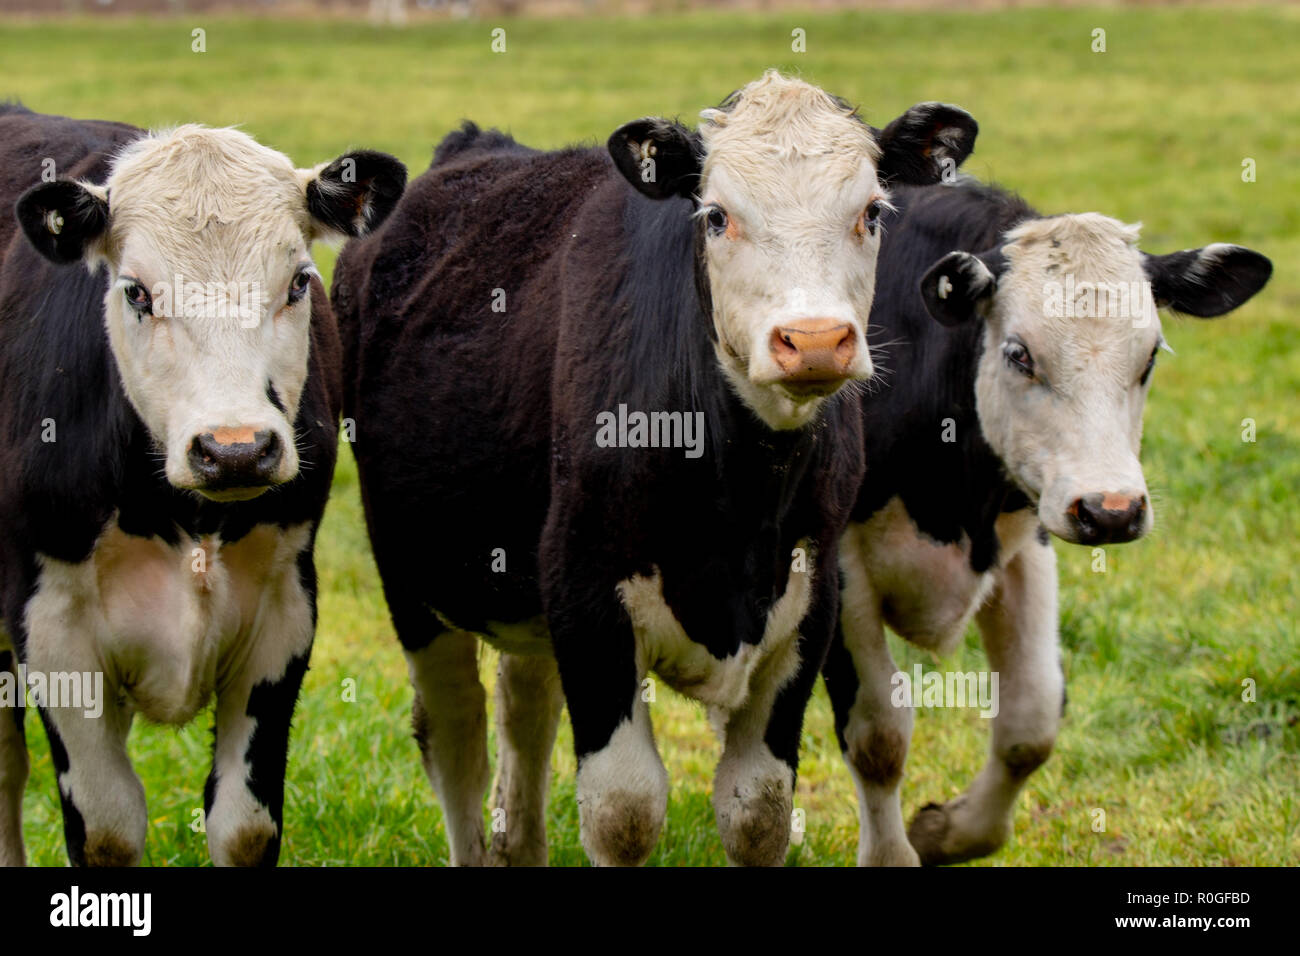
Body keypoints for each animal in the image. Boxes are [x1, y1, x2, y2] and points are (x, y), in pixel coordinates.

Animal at [0, 104, 406, 867]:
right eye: (136, 291)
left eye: (298, 282)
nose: (235, 451)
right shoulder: (50, 627)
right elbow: (106, 828)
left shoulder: (284, 608)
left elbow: (244, 826)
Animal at [331, 71, 979, 866]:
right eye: (717, 216)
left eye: (872, 211)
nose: (814, 340)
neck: (740, 495)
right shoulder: (586, 594)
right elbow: (624, 810)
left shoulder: (811, 597)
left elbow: (759, 811)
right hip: (413, 578)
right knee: (455, 738)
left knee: (524, 709)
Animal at [820, 176, 1272, 866]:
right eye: (1019, 354)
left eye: (1150, 357)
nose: (1112, 510)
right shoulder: (835, 562)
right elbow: (878, 735)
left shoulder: (1027, 537)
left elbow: (1030, 720)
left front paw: (947, 831)